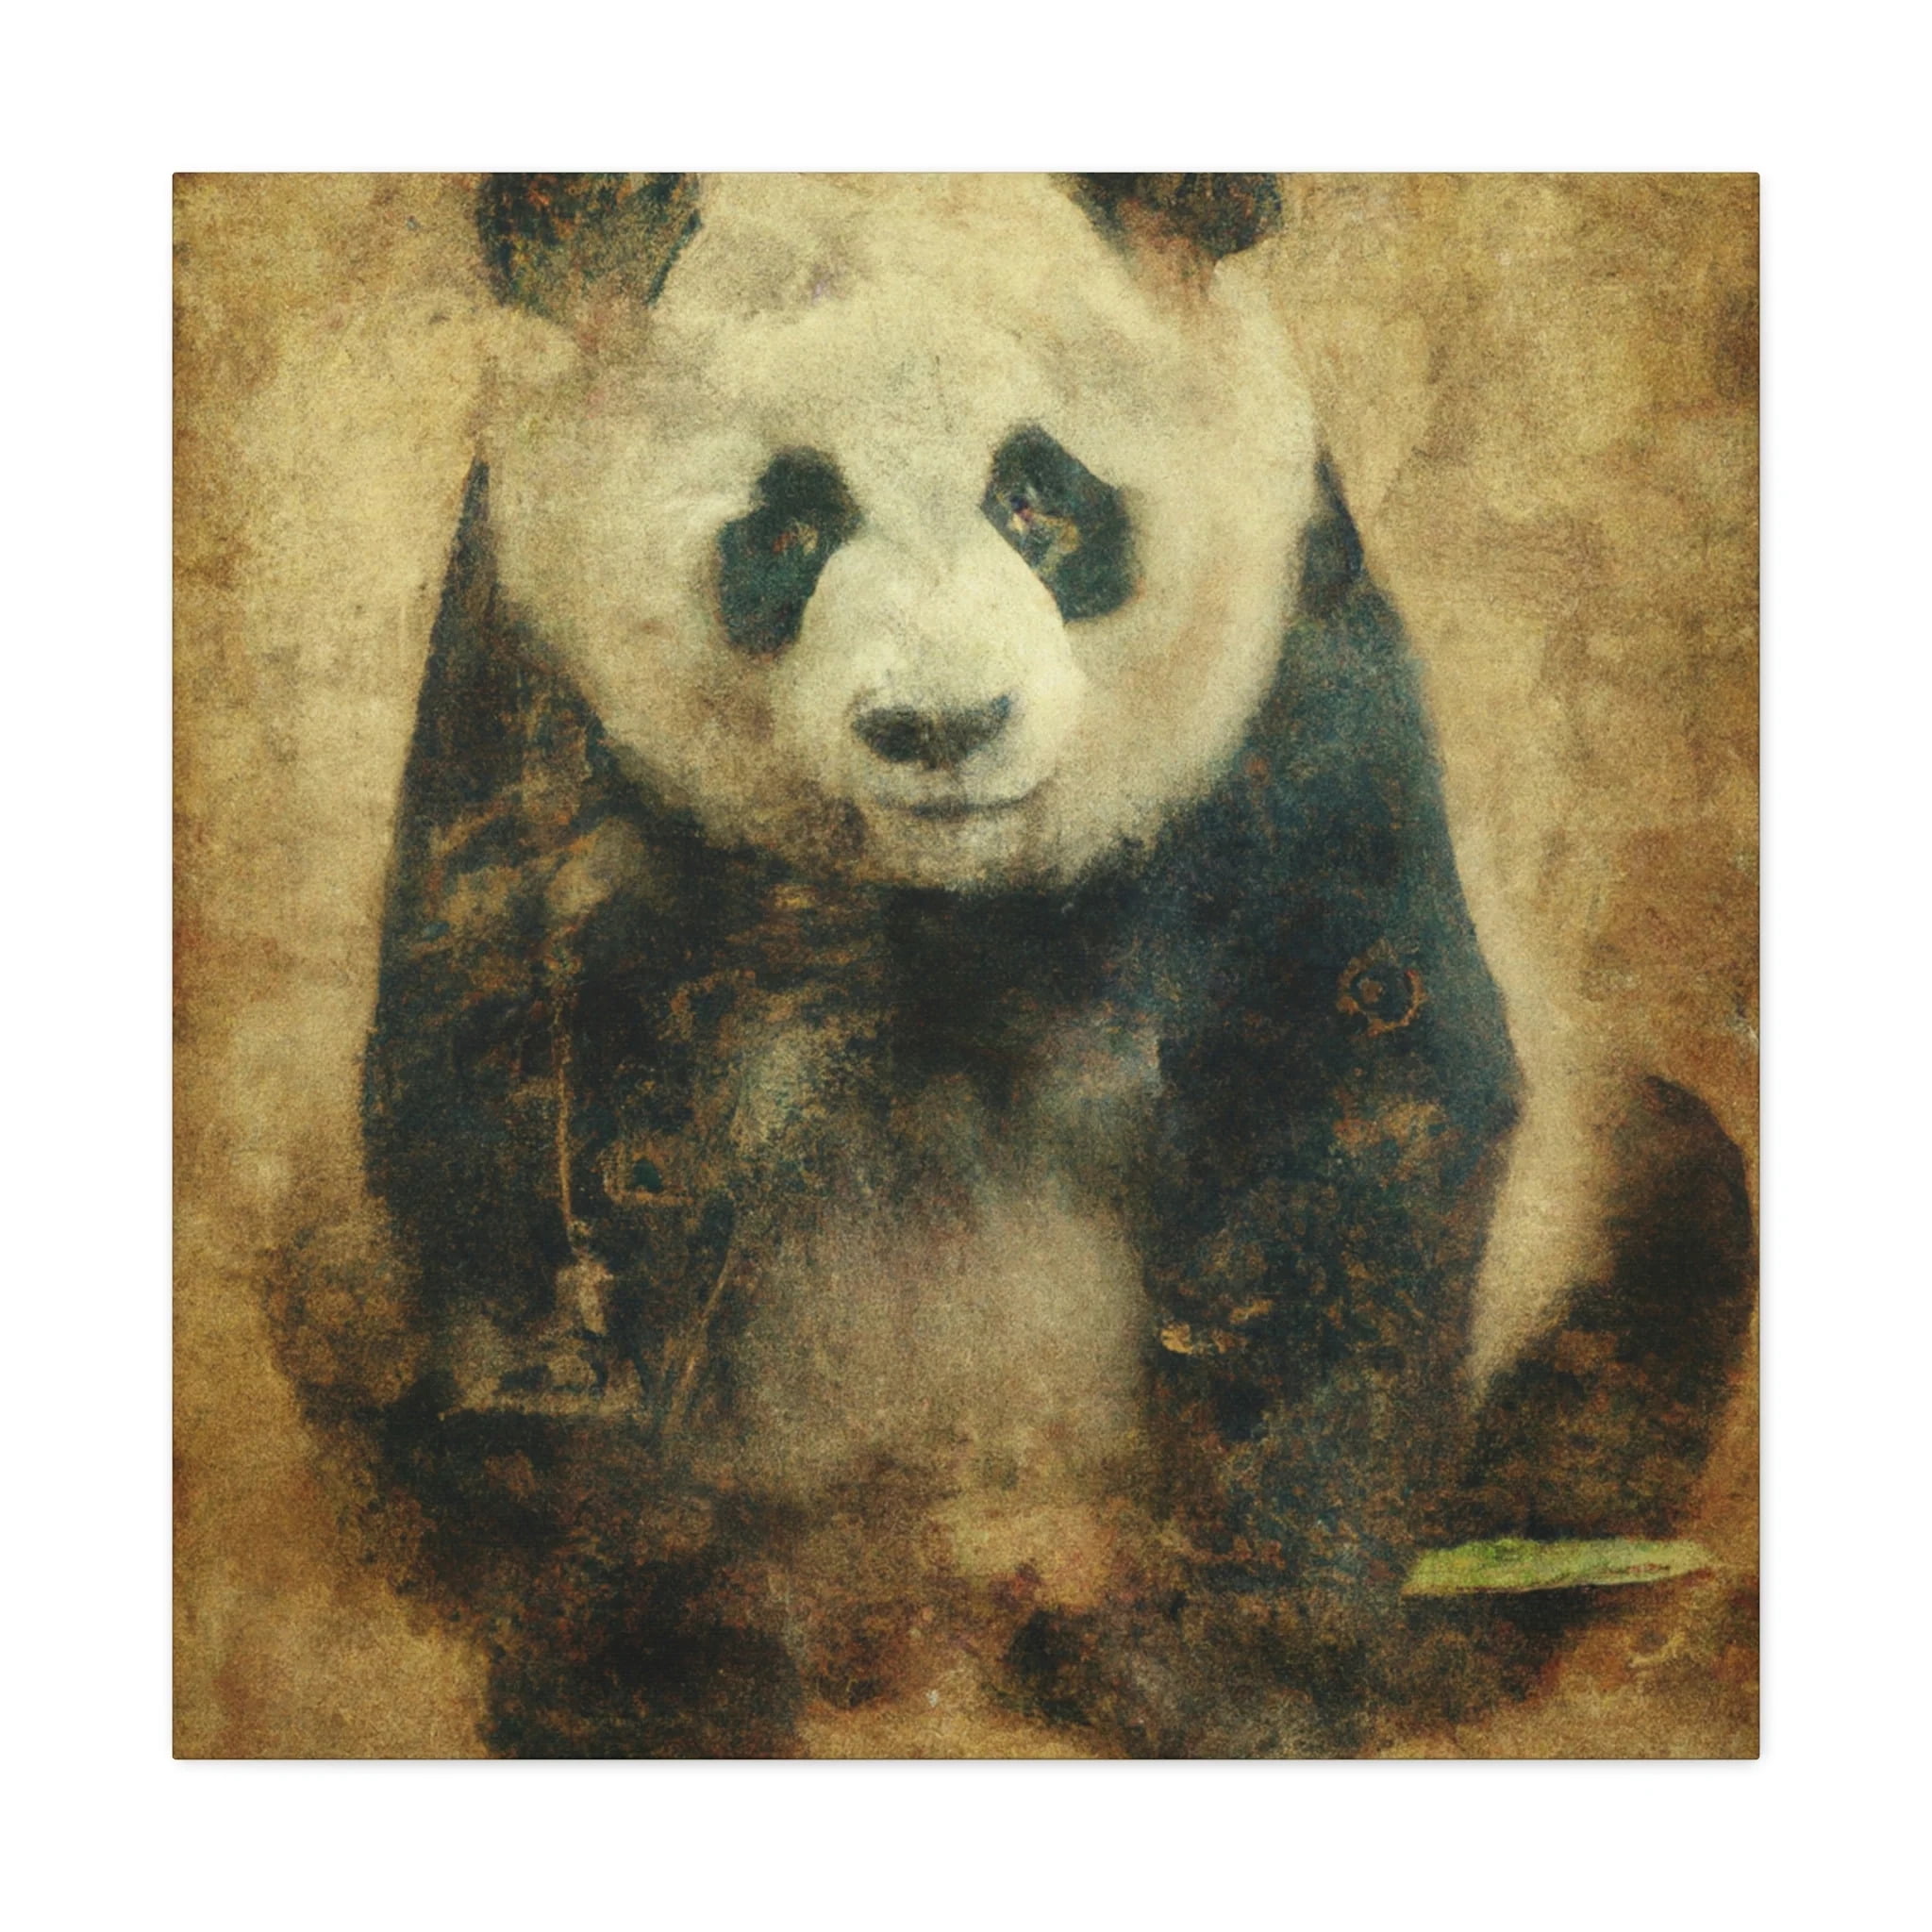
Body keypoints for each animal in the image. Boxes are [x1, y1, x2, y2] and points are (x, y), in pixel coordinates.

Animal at [284, 173, 1754, 1757]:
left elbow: (1350, 1088)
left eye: (1038, 500)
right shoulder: (536, 704)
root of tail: (960, 1570)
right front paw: (649, 1677)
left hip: (1580, 1222)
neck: (951, 900)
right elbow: (542, 1143)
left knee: (1658, 1248)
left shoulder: (1292, 684)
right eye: (788, 529)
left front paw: (1225, 1671)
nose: (942, 728)